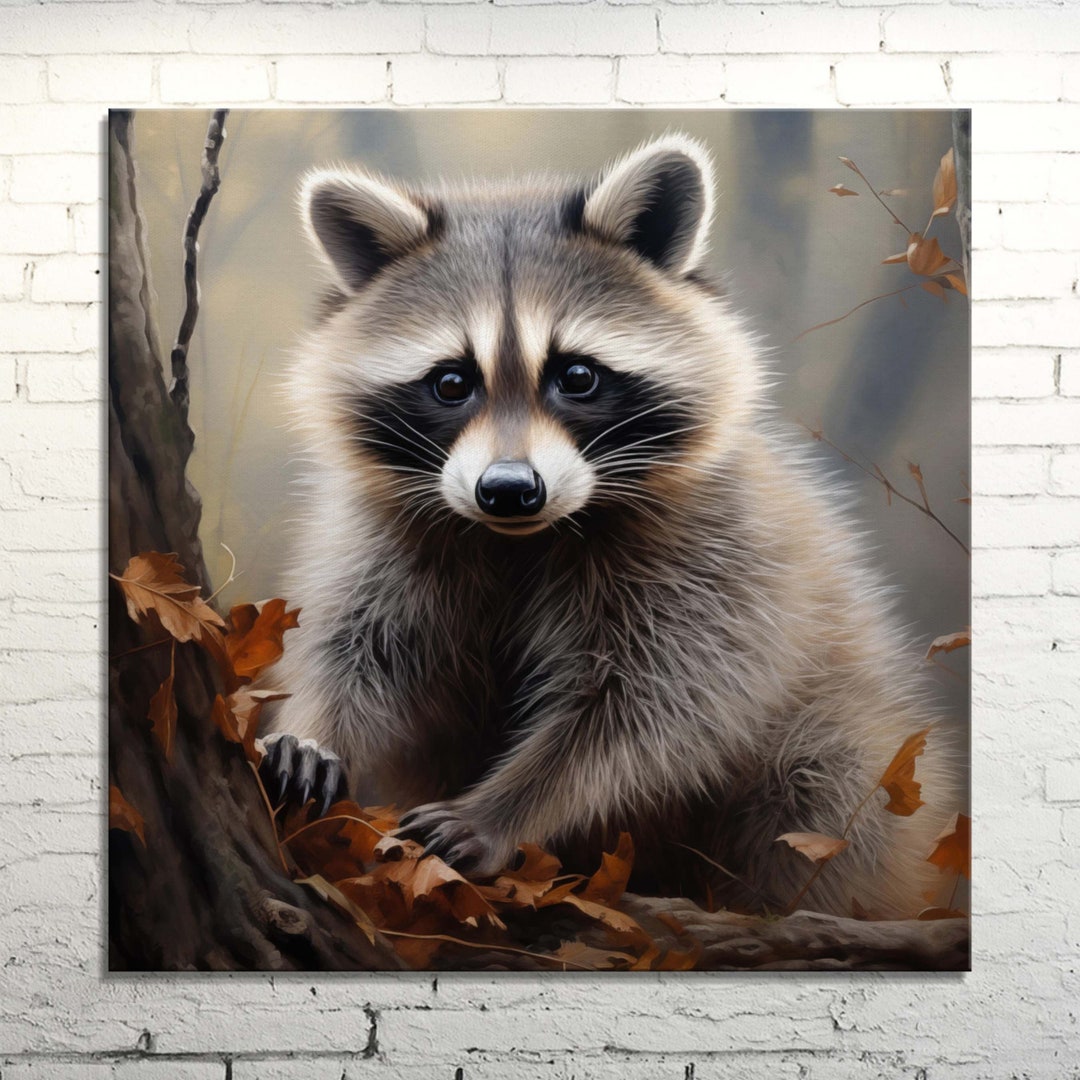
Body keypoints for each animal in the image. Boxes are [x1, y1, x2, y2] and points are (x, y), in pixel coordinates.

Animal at [262, 135, 956, 917]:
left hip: (850, 743)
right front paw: (313, 726)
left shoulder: (711, 551)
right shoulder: (390, 530)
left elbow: (648, 709)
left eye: (577, 376)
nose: (508, 491)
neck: (521, 540)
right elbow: (355, 642)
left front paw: (506, 806)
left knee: (824, 796)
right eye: (451, 382)